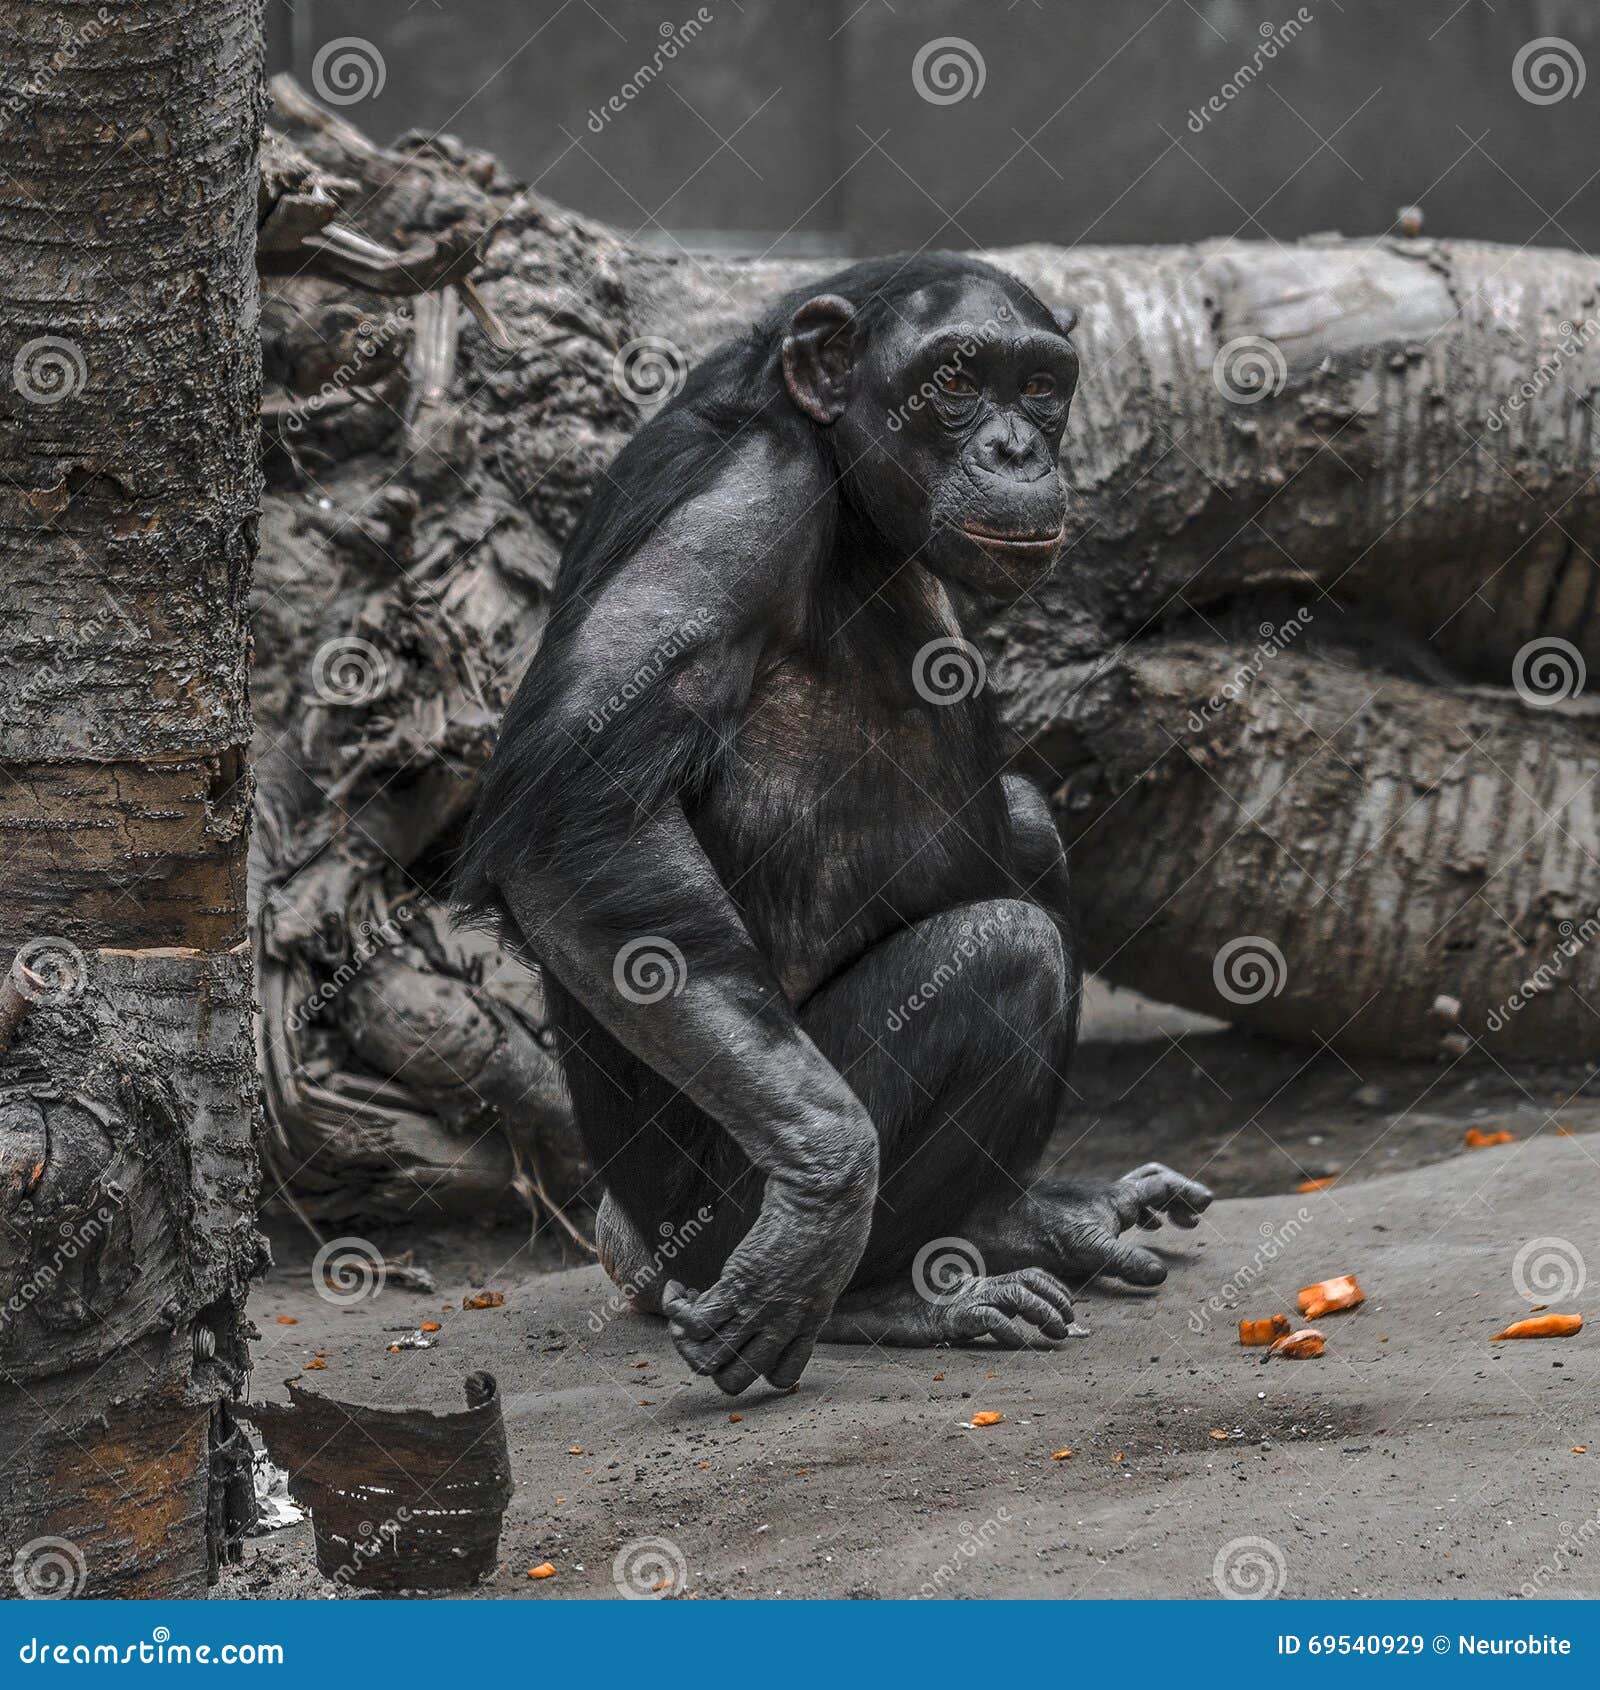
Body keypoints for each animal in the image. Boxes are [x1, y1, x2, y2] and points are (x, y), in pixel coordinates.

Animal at [456, 254, 1211, 1395]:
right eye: (955, 380)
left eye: (1040, 385)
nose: (1016, 448)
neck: (841, 484)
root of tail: (627, 1244)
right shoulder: (740, 510)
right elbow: (585, 813)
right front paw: (821, 1189)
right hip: (702, 1224)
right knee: (1003, 953)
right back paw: (888, 1297)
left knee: (1028, 821)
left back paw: (1024, 1221)